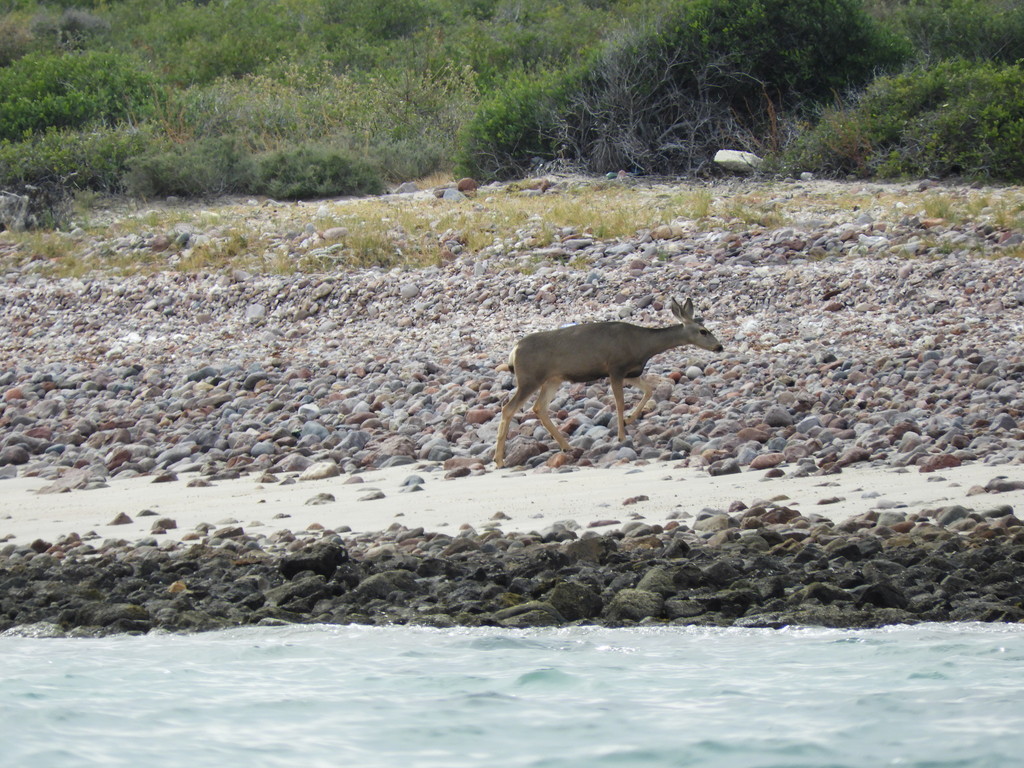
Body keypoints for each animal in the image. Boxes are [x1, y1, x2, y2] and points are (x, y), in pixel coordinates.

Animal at [493, 297, 724, 468]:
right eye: (703, 330)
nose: (720, 346)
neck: (643, 345)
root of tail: (514, 350)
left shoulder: (631, 372)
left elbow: (650, 390)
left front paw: (629, 421)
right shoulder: (615, 368)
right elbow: (619, 403)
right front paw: (621, 436)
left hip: (553, 379)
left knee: (539, 407)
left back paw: (567, 447)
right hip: (529, 378)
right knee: (508, 408)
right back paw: (499, 460)